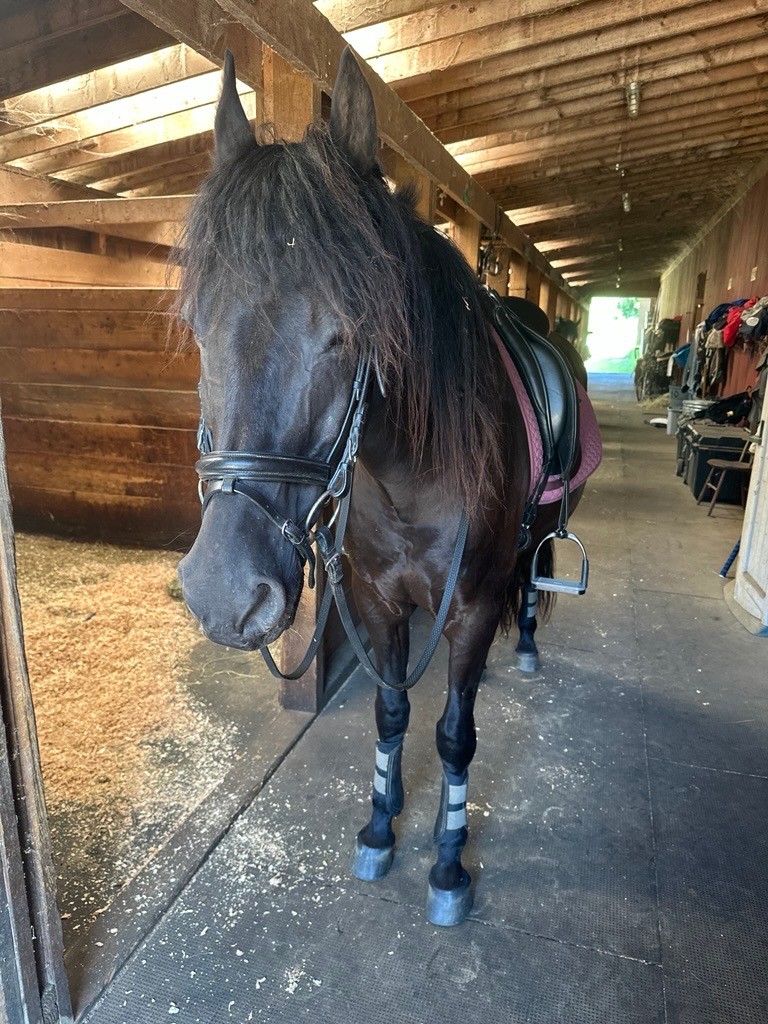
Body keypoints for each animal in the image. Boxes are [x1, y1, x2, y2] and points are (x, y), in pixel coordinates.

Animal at [177, 48, 587, 926]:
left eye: (350, 328)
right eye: (197, 325)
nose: (223, 593)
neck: (406, 480)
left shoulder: (468, 605)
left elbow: (456, 735)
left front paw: (448, 861)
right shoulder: (377, 600)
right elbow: (392, 711)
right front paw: (379, 825)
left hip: (532, 544)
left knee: (531, 584)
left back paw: (524, 648)